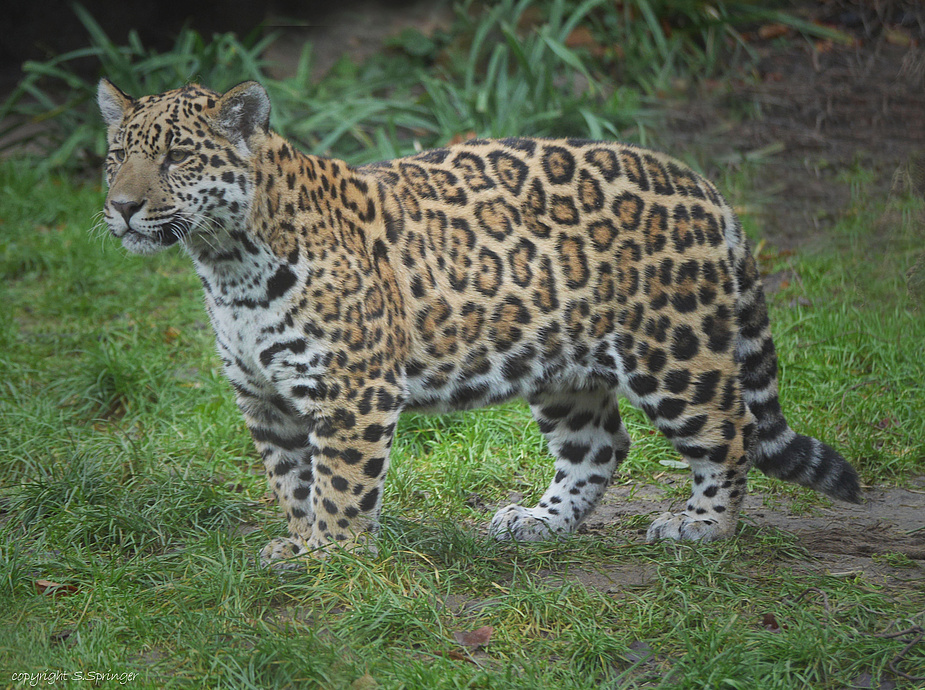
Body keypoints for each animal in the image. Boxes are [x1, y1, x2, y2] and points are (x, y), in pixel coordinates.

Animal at [97, 79, 861, 565]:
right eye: (117, 155)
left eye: (178, 156)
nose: (123, 207)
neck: (227, 263)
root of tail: (703, 183)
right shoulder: (264, 399)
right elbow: (292, 481)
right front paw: (298, 541)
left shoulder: (351, 393)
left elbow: (340, 483)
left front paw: (333, 557)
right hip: (562, 365)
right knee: (600, 445)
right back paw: (537, 523)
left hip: (674, 352)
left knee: (730, 433)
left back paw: (701, 529)